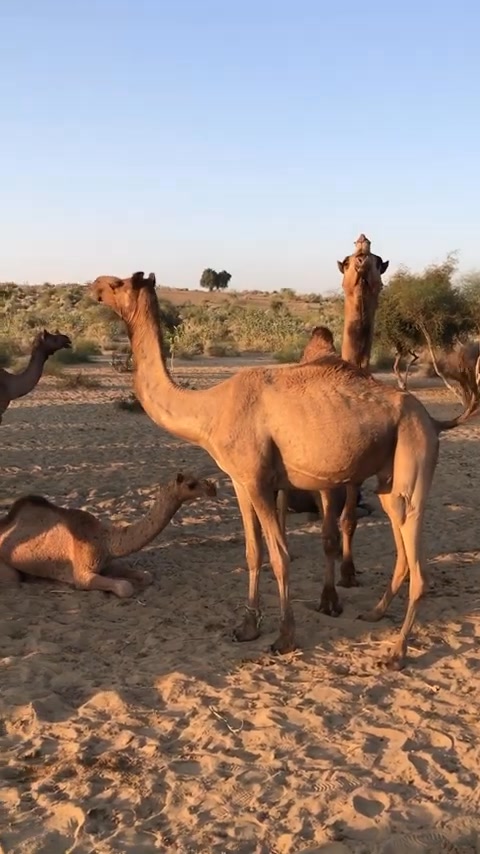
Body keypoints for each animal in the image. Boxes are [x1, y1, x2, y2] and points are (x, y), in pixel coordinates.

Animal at [0, 472, 217, 595]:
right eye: (191, 484)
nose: (212, 488)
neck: (106, 539)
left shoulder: (106, 562)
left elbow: (146, 575)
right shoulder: (83, 574)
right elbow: (125, 587)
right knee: (12, 578)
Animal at [90, 271, 478, 669]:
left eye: (118, 284)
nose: (95, 286)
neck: (209, 410)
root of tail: (433, 420)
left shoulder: (259, 482)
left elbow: (280, 555)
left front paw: (285, 637)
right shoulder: (240, 482)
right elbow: (253, 553)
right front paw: (247, 627)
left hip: (414, 461)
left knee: (419, 565)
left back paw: (396, 653)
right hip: (388, 481)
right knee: (400, 547)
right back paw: (373, 613)